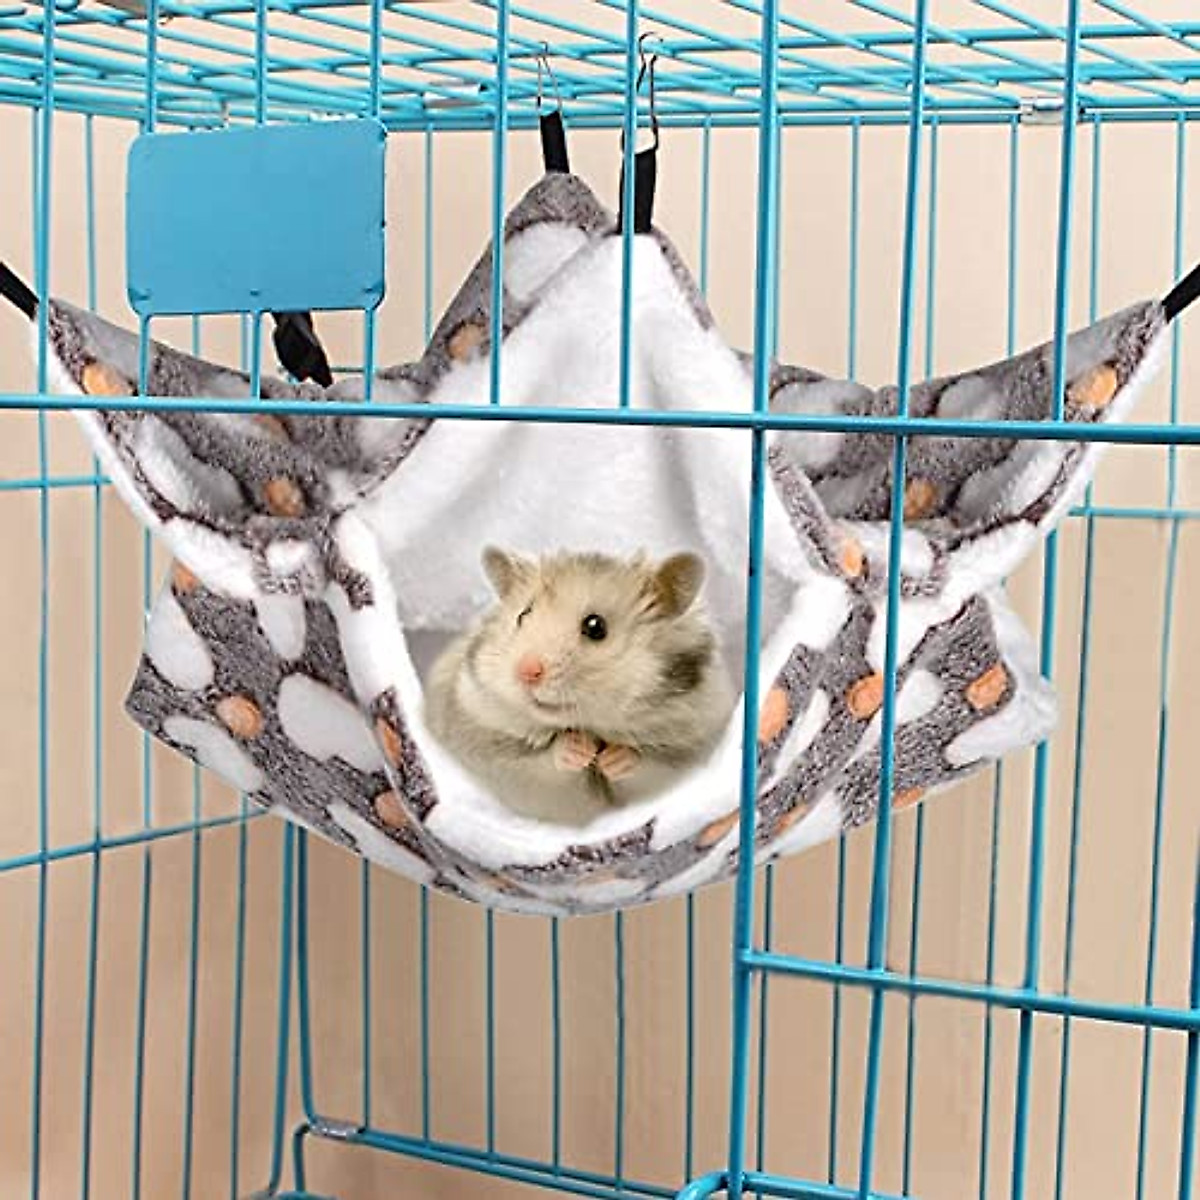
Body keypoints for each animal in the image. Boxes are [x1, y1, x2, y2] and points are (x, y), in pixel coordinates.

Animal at [424, 547, 735, 821]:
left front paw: (613, 759)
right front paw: (578, 749)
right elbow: (544, 761)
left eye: (595, 626)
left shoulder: (687, 751)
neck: (591, 726)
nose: (526, 671)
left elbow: (644, 764)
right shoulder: (495, 751)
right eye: (523, 615)